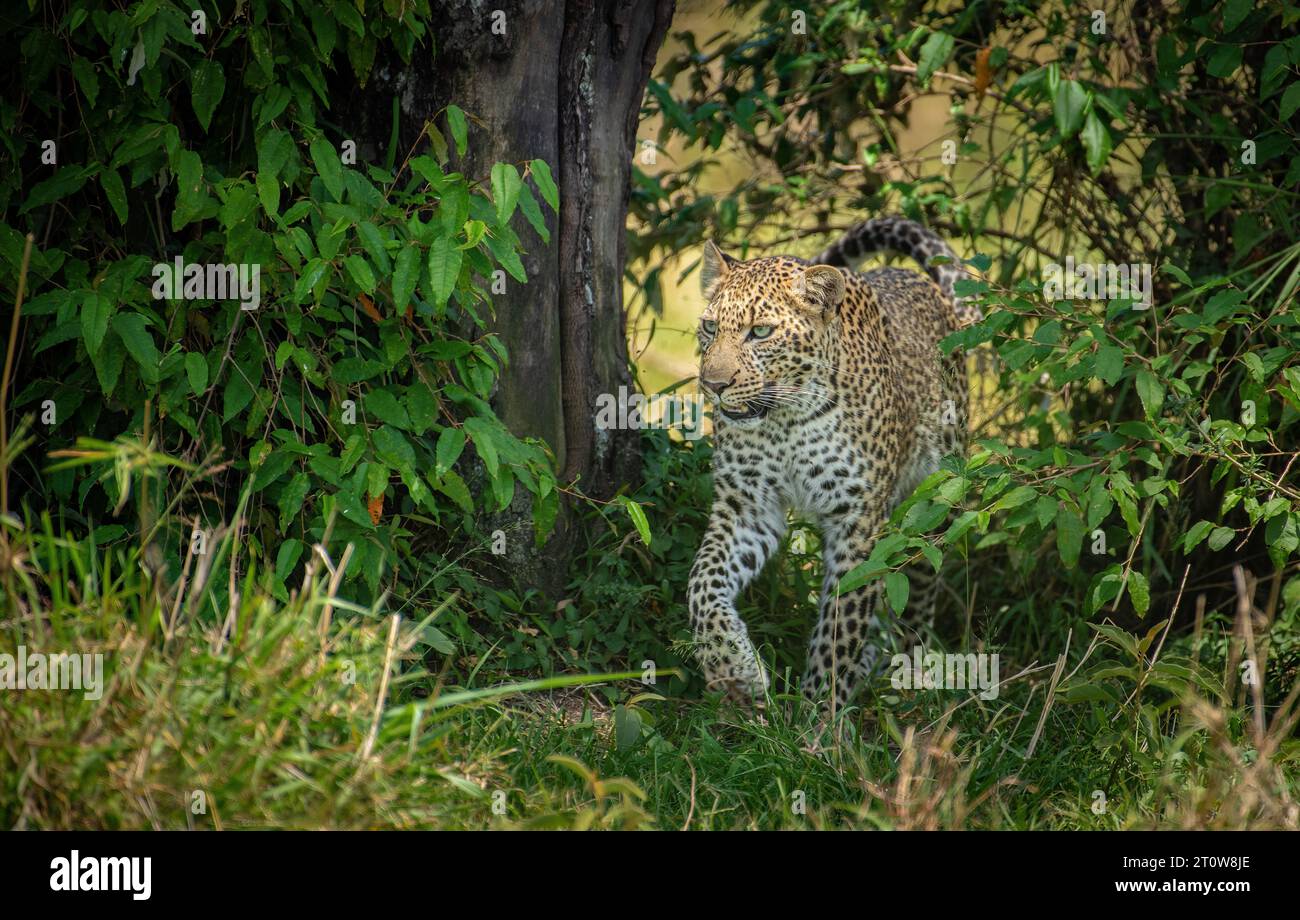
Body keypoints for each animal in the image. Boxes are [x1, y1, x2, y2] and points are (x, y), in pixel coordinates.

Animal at [686, 216, 981, 714]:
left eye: (760, 332)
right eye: (709, 327)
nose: (713, 384)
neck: (783, 419)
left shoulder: (857, 521)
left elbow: (840, 627)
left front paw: (818, 718)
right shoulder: (747, 508)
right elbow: (702, 584)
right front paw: (735, 670)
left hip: (931, 505)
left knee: (915, 602)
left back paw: (903, 680)